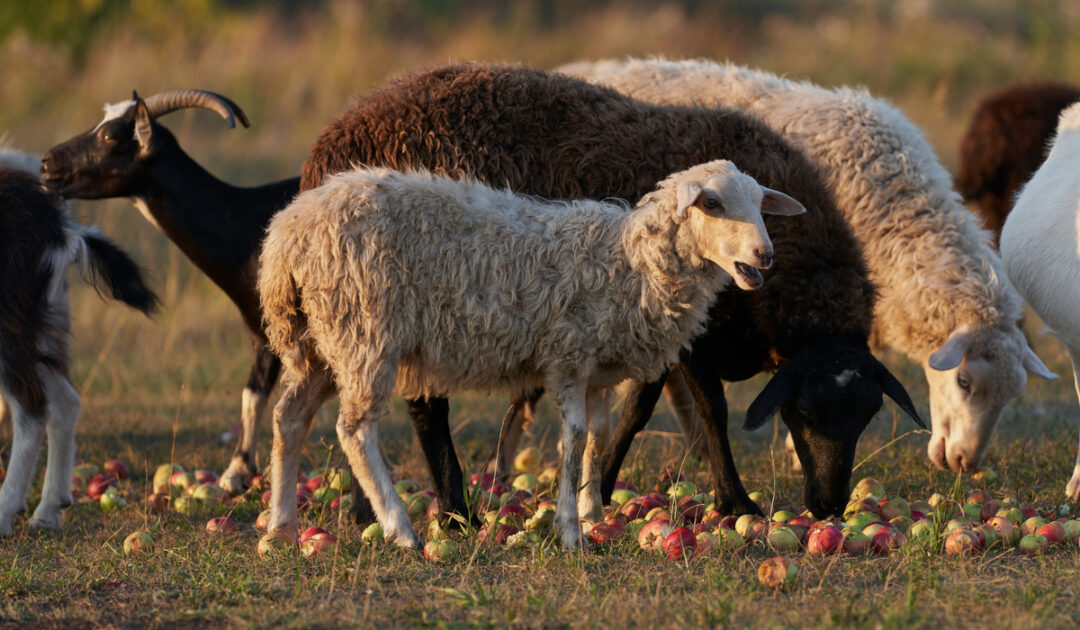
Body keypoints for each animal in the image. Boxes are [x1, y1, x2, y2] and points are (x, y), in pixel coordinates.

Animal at [0, 145, 158, 536]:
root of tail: (60, 230)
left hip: (11, 325)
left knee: (31, 408)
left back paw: (6, 512)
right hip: (42, 324)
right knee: (64, 400)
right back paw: (48, 512)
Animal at [40, 90, 300, 497]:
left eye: (110, 136)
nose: (47, 163)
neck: (245, 223)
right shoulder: (258, 329)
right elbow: (253, 394)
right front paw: (239, 473)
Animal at [260, 160, 804, 549]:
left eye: (761, 203)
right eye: (712, 201)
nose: (765, 255)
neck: (631, 262)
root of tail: (287, 232)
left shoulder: (598, 370)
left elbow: (597, 436)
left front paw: (593, 514)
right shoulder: (568, 356)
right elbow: (575, 436)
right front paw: (570, 529)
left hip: (322, 338)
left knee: (289, 417)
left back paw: (282, 526)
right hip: (364, 329)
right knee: (354, 430)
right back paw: (400, 529)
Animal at [301, 62, 919, 521]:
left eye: (869, 414)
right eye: (804, 409)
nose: (829, 508)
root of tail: (332, 146)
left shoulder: (658, 328)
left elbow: (637, 409)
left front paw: (598, 489)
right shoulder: (695, 335)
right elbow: (712, 411)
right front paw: (735, 502)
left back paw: (368, 510)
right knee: (425, 407)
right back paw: (455, 513)